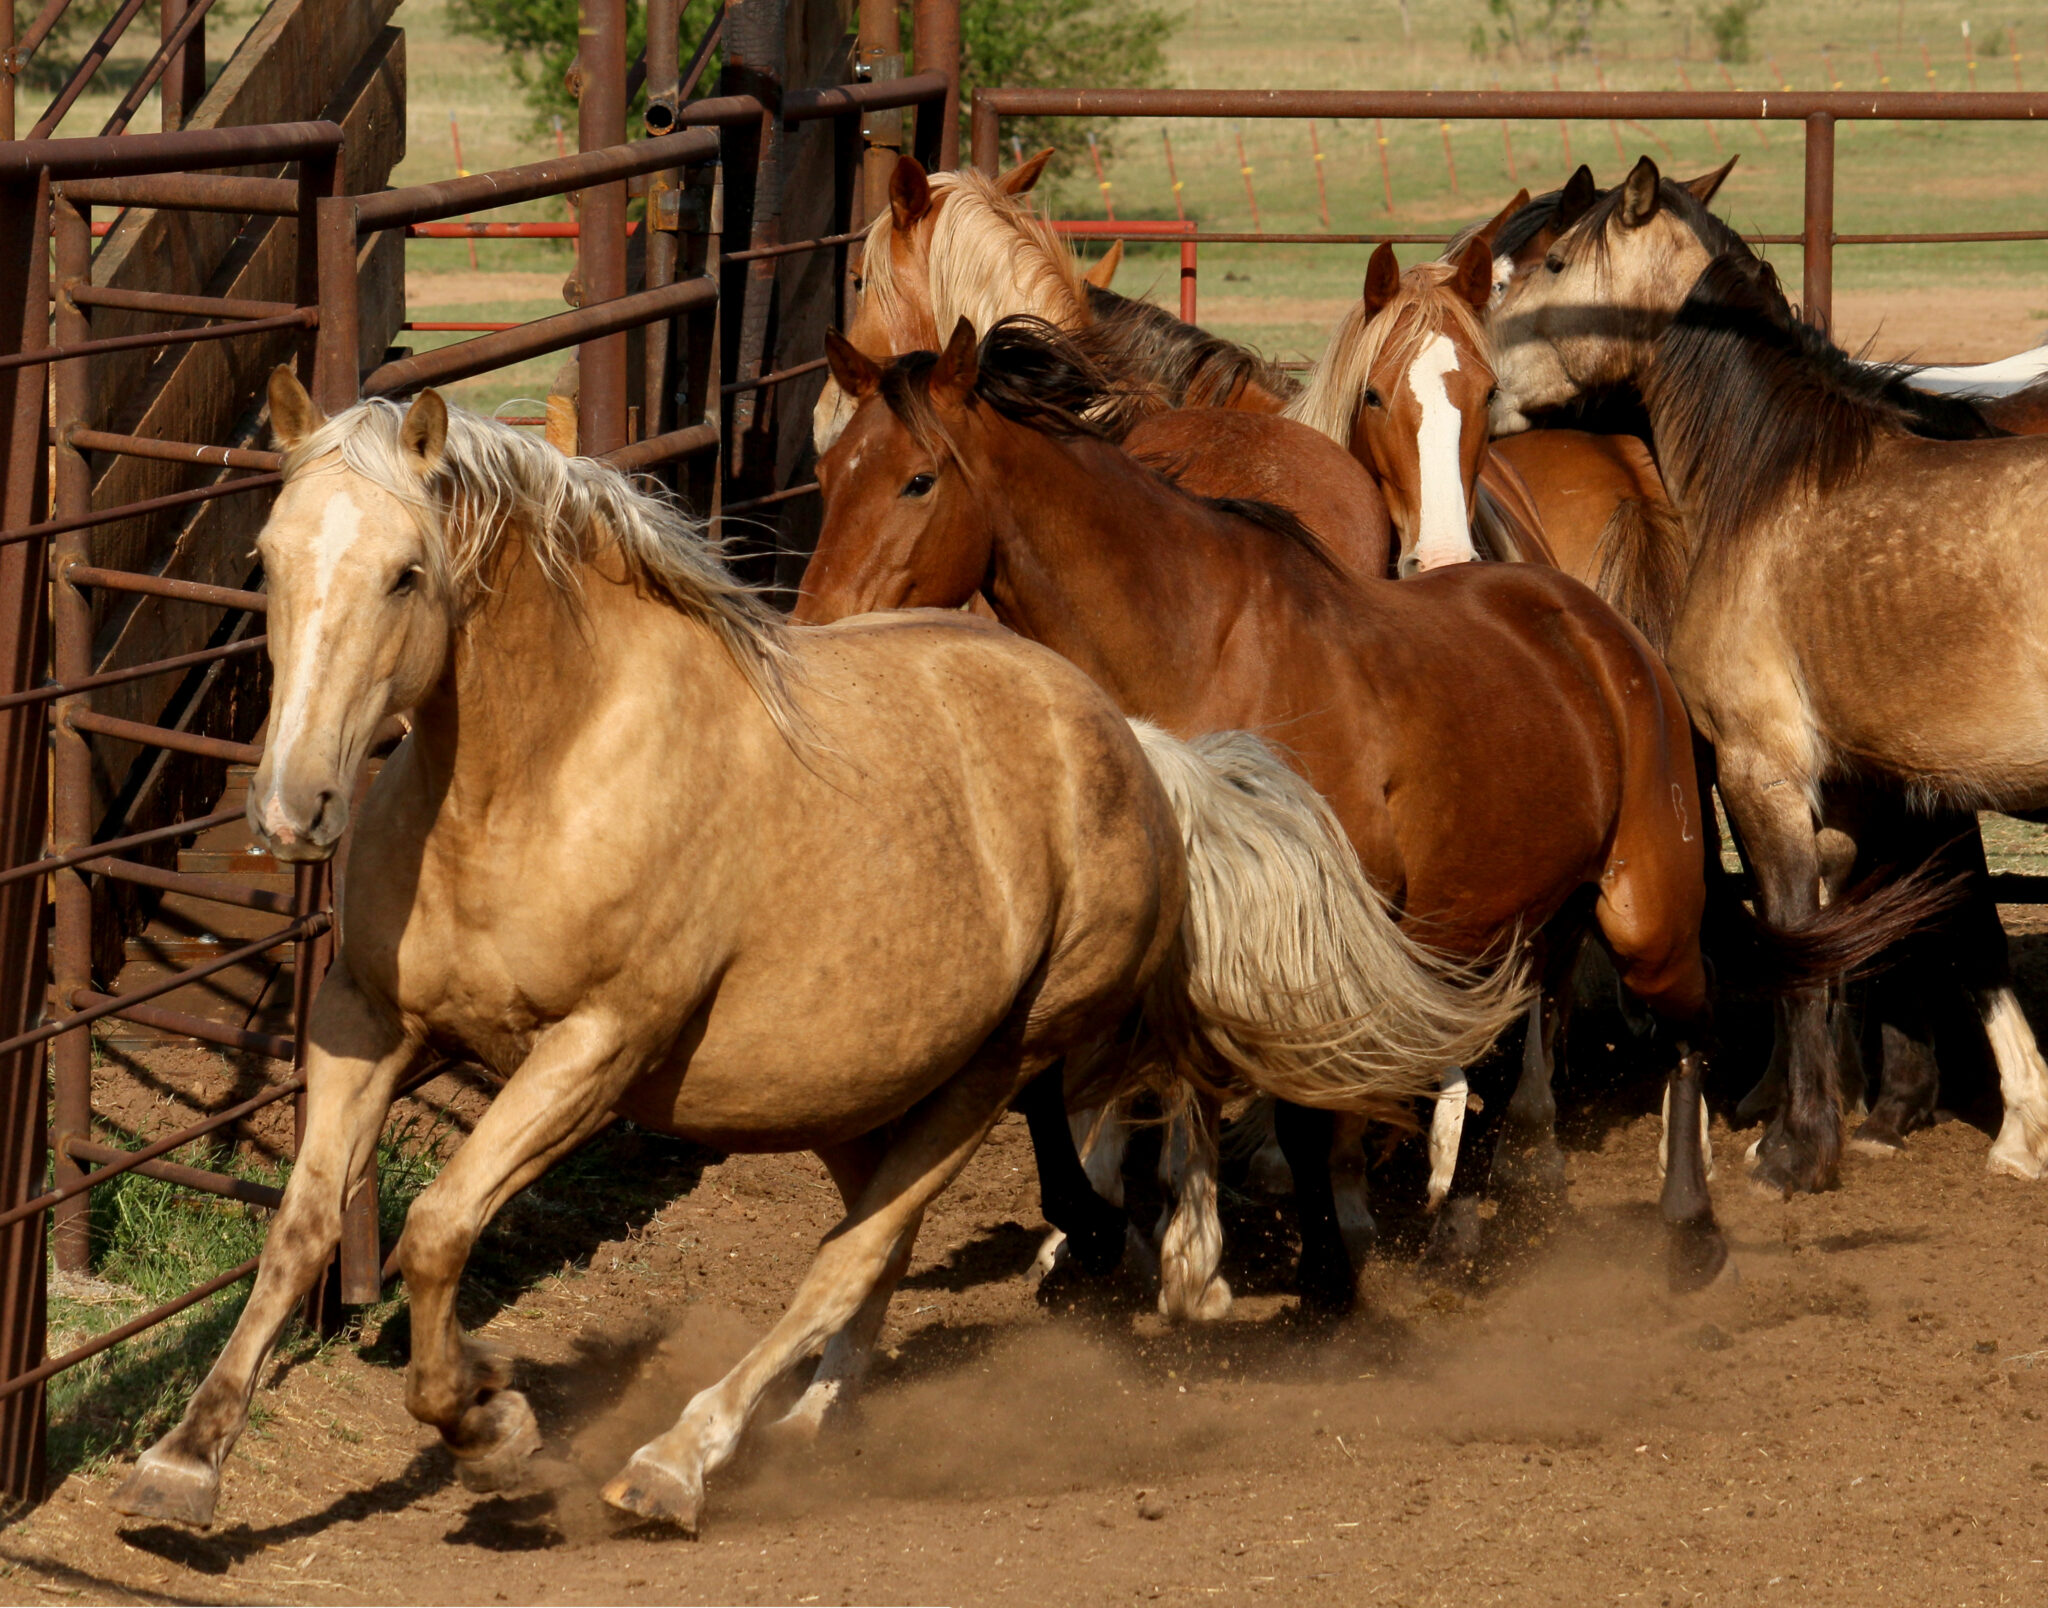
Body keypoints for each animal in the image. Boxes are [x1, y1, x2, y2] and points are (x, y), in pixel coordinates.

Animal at [111, 370, 1490, 1534]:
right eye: (267, 559)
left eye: (406, 573)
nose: (291, 806)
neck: (531, 783)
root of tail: (1132, 746)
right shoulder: (362, 1018)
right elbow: (300, 1228)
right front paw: (183, 1464)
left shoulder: (596, 1050)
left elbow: (442, 1229)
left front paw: (490, 1428)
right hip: (859, 1088)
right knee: (868, 1268)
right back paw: (810, 1421)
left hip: (993, 1072)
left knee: (852, 1258)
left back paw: (679, 1460)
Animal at [791, 315, 1937, 1306]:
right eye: (828, 473)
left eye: (917, 477)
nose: (816, 632)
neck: (1195, 651)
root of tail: (1604, 634)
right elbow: (1057, 1082)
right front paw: (1096, 1236)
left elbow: (1298, 1110)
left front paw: (1309, 1275)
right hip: (1510, 926)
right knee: (1501, 1054)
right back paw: (1462, 1230)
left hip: (1642, 908)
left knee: (1681, 1038)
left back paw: (1690, 1233)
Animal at [1489, 155, 2048, 1193]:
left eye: (1550, 262)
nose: (1480, 382)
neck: (1771, 481)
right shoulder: (1864, 792)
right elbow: (1848, 947)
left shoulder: (1765, 775)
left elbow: (1797, 941)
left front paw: (1795, 1150)